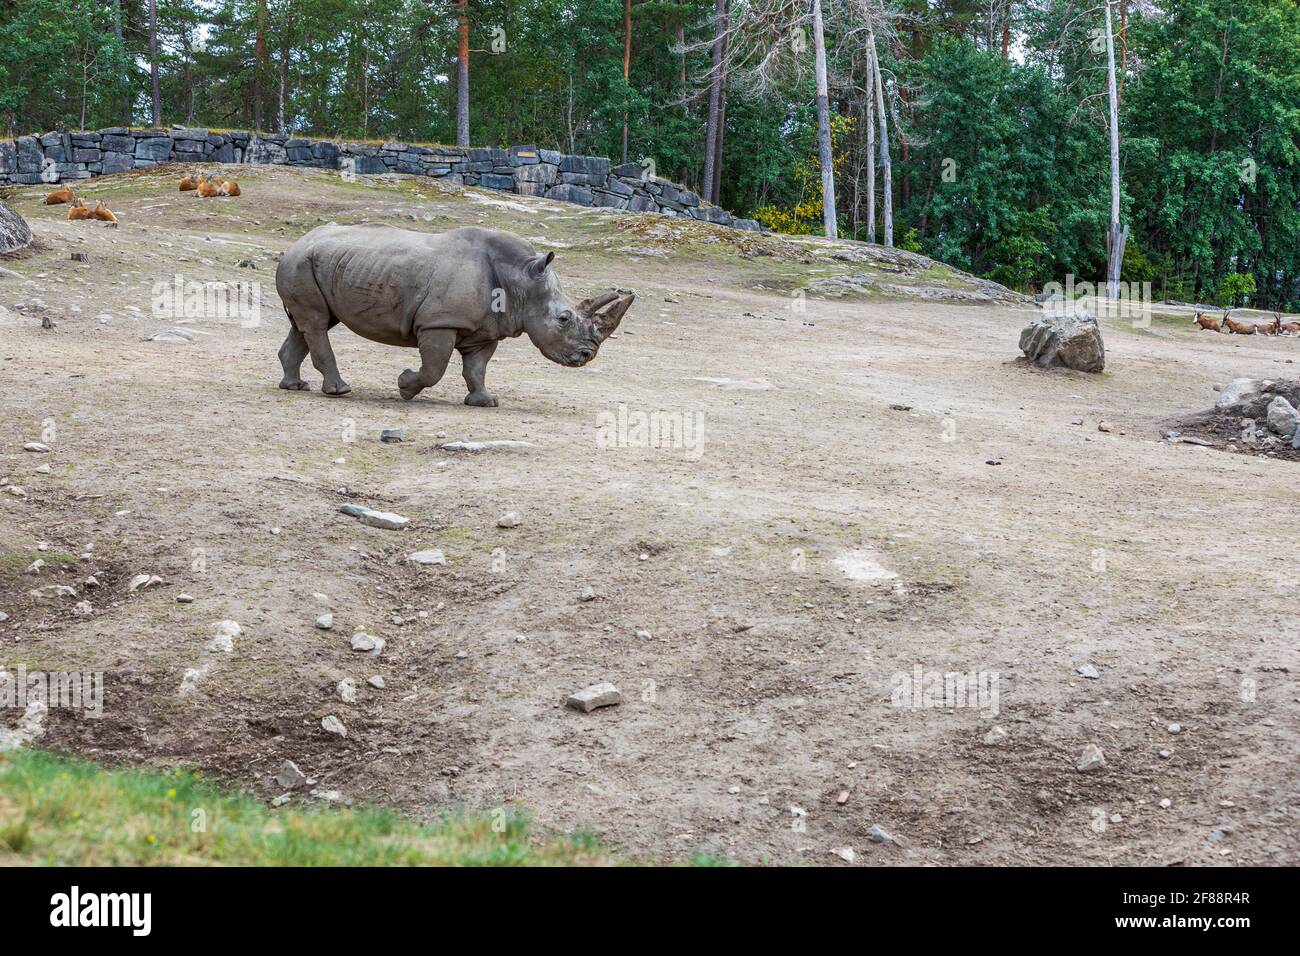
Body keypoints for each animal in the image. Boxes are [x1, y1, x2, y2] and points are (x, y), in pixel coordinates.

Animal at [274, 224, 633, 406]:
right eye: (563, 319)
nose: (587, 355)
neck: (521, 278)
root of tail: (296, 242)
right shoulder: (439, 322)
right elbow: (434, 368)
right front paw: (405, 387)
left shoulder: (486, 329)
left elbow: (476, 368)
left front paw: (485, 401)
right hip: (301, 263)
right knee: (317, 324)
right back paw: (340, 391)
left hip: (319, 263)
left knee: (307, 324)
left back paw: (295, 386)